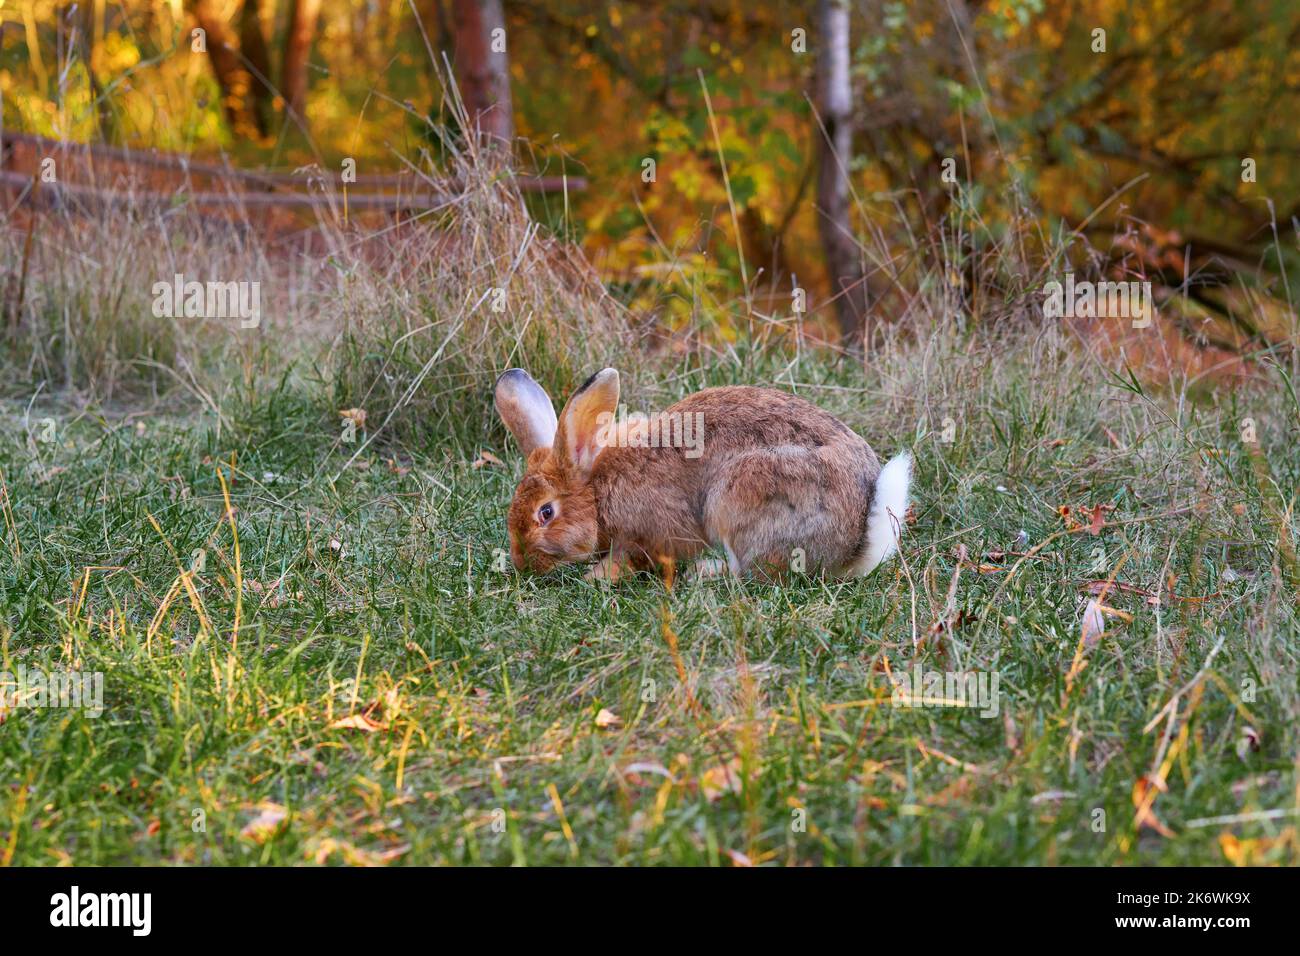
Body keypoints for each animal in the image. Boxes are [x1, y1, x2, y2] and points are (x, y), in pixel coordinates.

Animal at [493, 367, 911, 580]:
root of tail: (851, 548)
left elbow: (628, 561)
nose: (523, 564)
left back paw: (705, 574)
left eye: (546, 513)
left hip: (738, 499)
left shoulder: (645, 535)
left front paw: (596, 578)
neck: (596, 491)